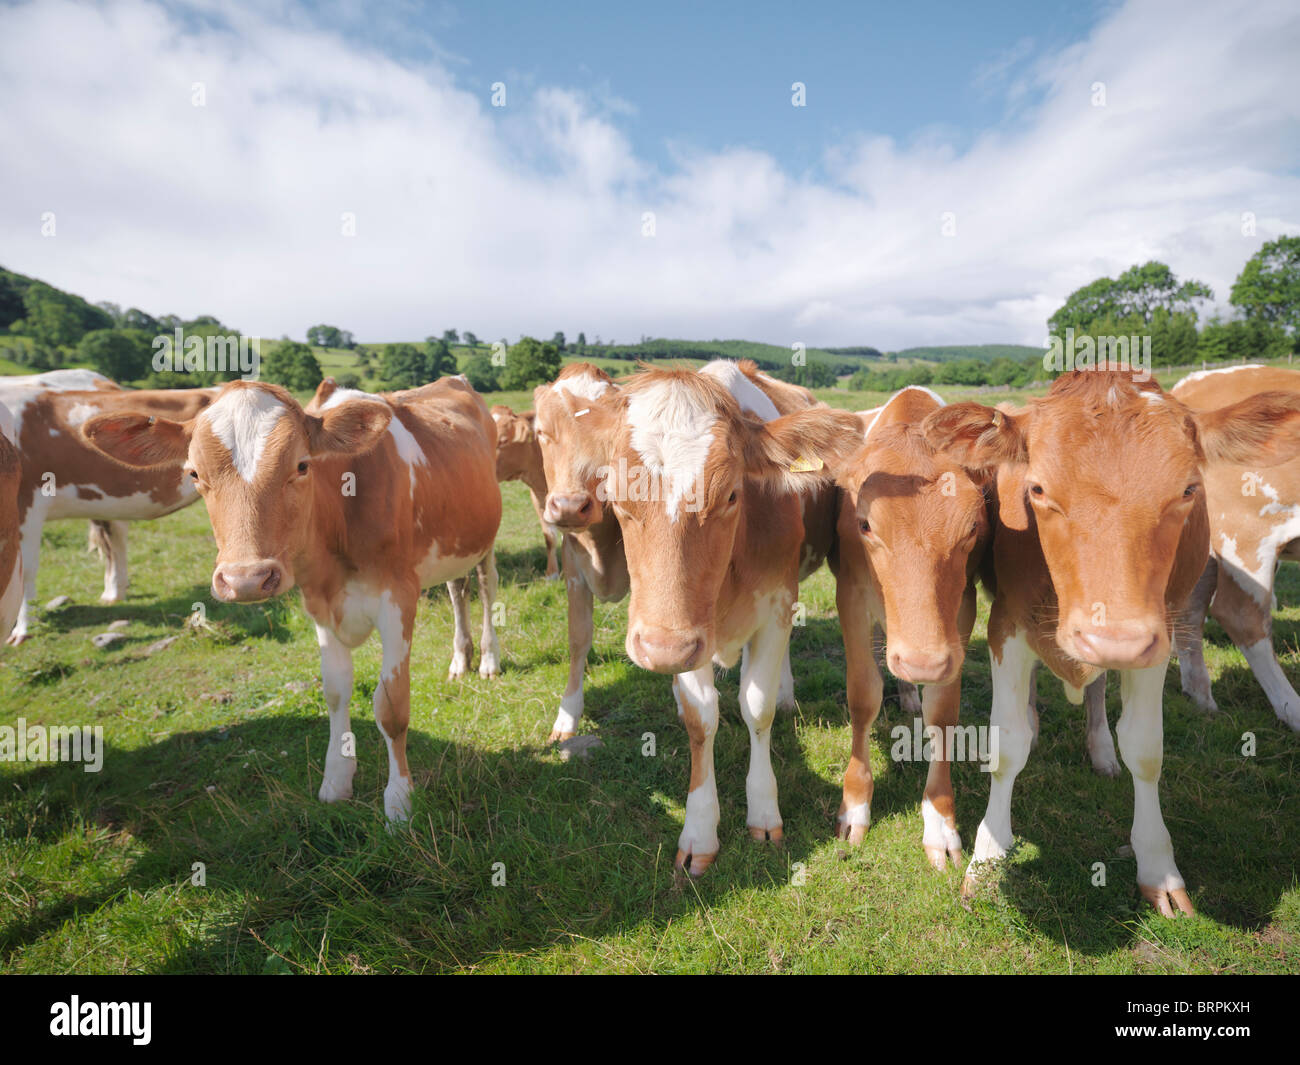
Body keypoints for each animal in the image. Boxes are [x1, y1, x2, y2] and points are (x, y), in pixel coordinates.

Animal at [81, 378, 502, 822]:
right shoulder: (318, 603)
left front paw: (399, 801)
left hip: (486, 539)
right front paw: (336, 780)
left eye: (302, 466)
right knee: (458, 590)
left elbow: (391, 705)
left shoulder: (397, 598)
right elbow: (335, 690)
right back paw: (460, 660)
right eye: (194, 473)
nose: (246, 579)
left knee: (487, 590)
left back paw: (488, 660)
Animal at [564, 366, 861, 873]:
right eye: (618, 497)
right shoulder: (688, 633)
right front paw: (700, 830)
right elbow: (701, 719)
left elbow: (756, 707)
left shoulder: (775, 605)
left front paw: (764, 811)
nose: (661, 651)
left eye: (731, 495)